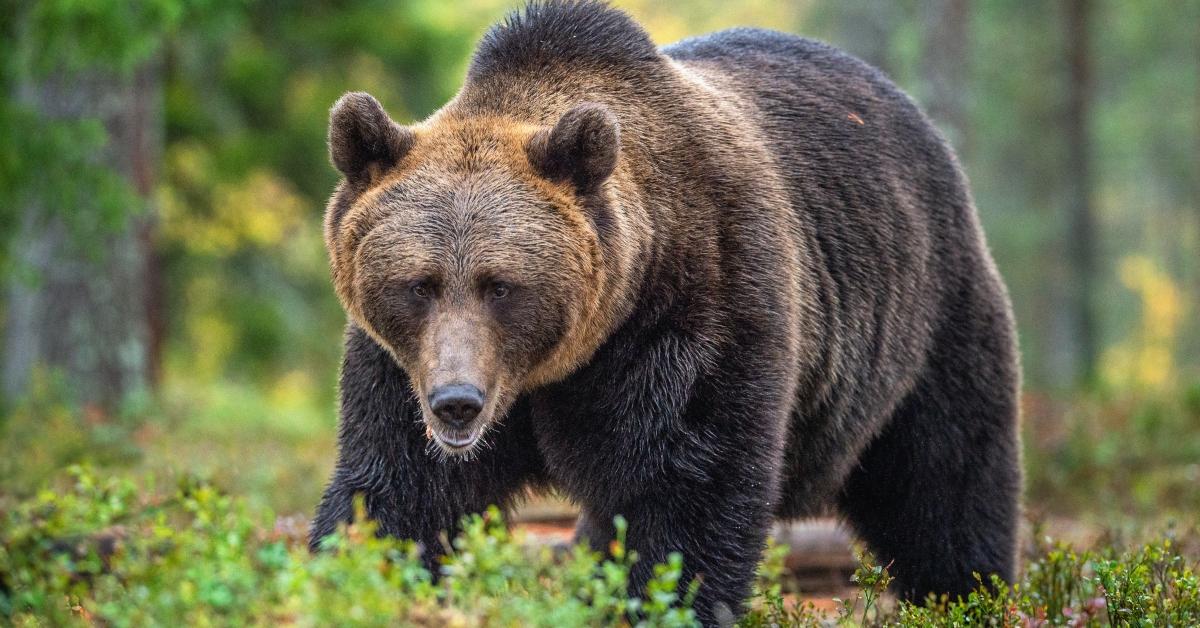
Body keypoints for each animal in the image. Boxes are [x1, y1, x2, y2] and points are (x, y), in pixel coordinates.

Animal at [310, 1, 1022, 623]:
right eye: (418, 284)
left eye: (501, 286)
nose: (457, 403)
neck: (554, 368)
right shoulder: (399, 364)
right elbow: (396, 489)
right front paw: (354, 580)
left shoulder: (696, 308)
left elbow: (688, 487)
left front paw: (666, 601)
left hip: (925, 318)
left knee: (944, 479)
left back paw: (966, 593)